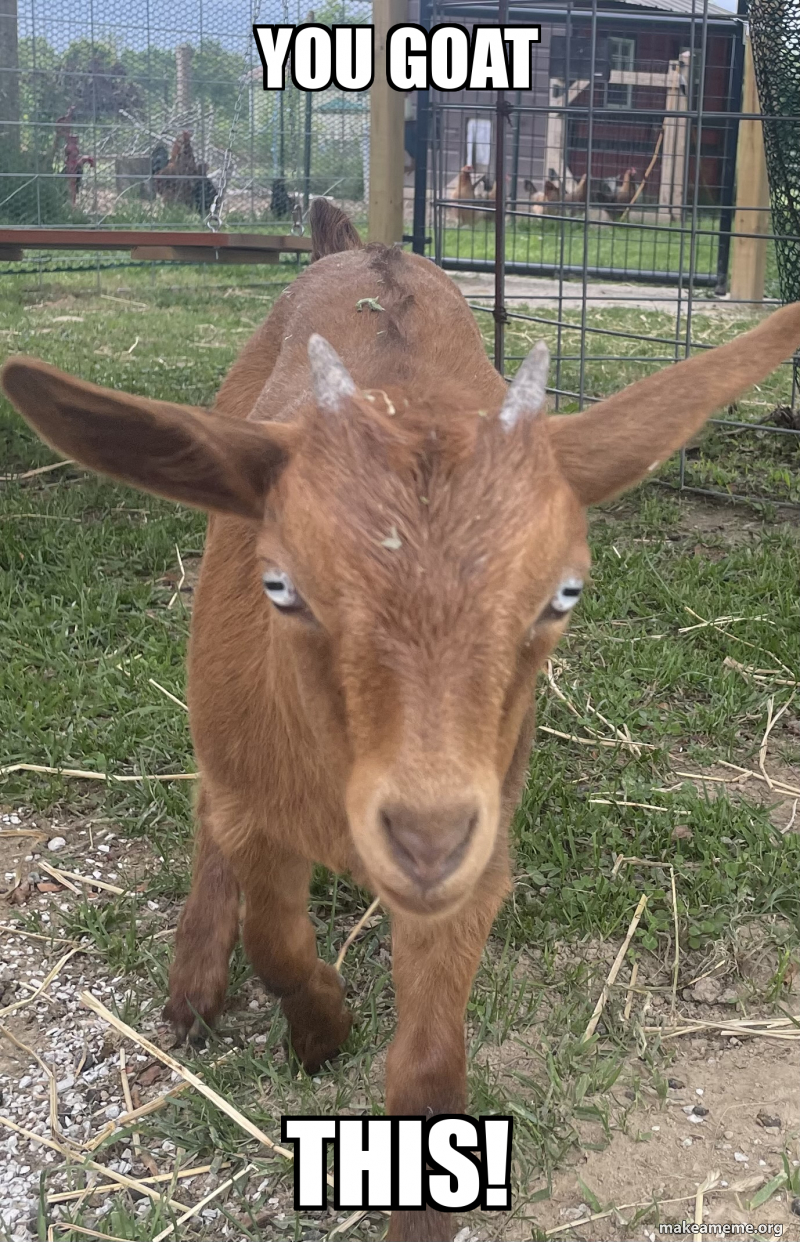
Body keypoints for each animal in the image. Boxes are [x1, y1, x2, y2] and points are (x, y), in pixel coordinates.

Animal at [3, 200, 800, 1242]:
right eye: (281, 586)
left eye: (564, 593)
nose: (423, 838)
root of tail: (365, 247)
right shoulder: (264, 804)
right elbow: (274, 939)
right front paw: (322, 1033)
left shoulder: (481, 846)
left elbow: (427, 1072)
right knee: (209, 808)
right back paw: (194, 983)